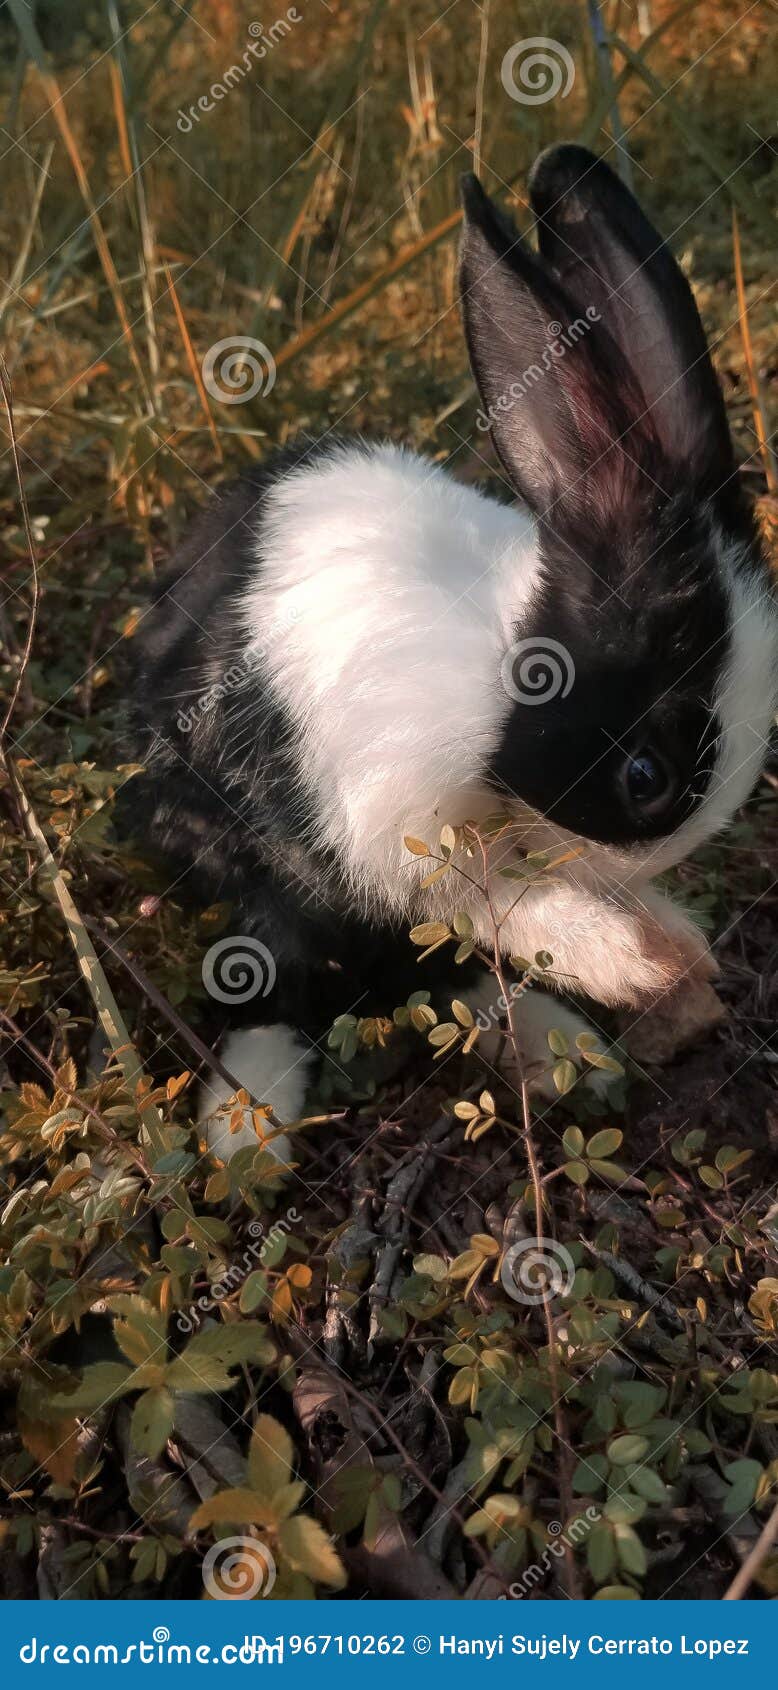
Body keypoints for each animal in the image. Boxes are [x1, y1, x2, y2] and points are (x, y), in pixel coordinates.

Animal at [128, 144, 777, 1161]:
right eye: (645, 776)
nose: (639, 883)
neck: (499, 676)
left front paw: (674, 946)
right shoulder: (384, 821)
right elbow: (487, 904)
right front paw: (633, 961)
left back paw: (565, 1054)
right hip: (249, 855)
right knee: (282, 970)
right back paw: (248, 1138)